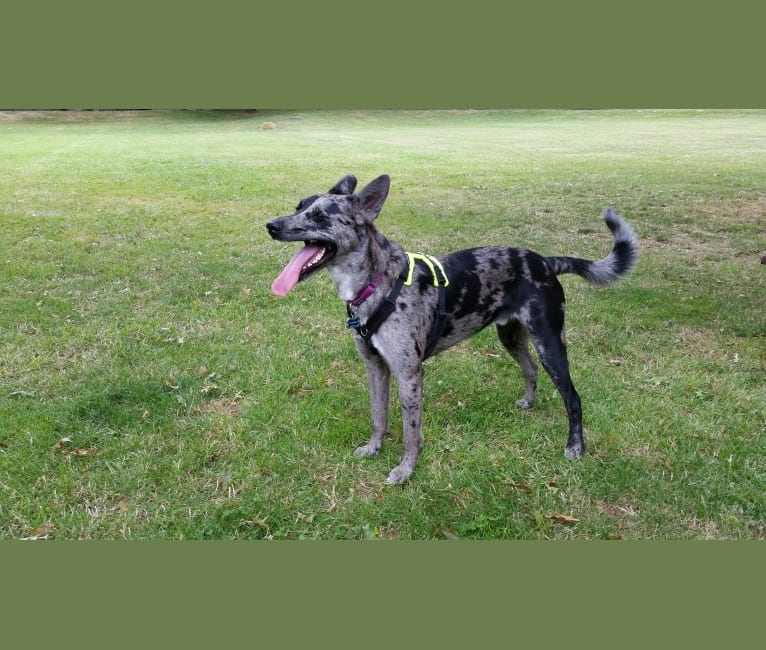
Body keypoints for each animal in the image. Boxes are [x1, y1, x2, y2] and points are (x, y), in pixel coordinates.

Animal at [268, 172, 640, 480]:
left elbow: (411, 432)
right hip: (511, 336)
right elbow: (378, 416)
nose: (271, 225)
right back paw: (528, 402)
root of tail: (546, 262)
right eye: (298, 206)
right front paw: (374, 449)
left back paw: (576, 446)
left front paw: (406, 470)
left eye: (319, 216)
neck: (378, 281)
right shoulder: (375, 367)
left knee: (572, 397)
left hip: (550, 343)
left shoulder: (409, 375)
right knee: (530, 368)